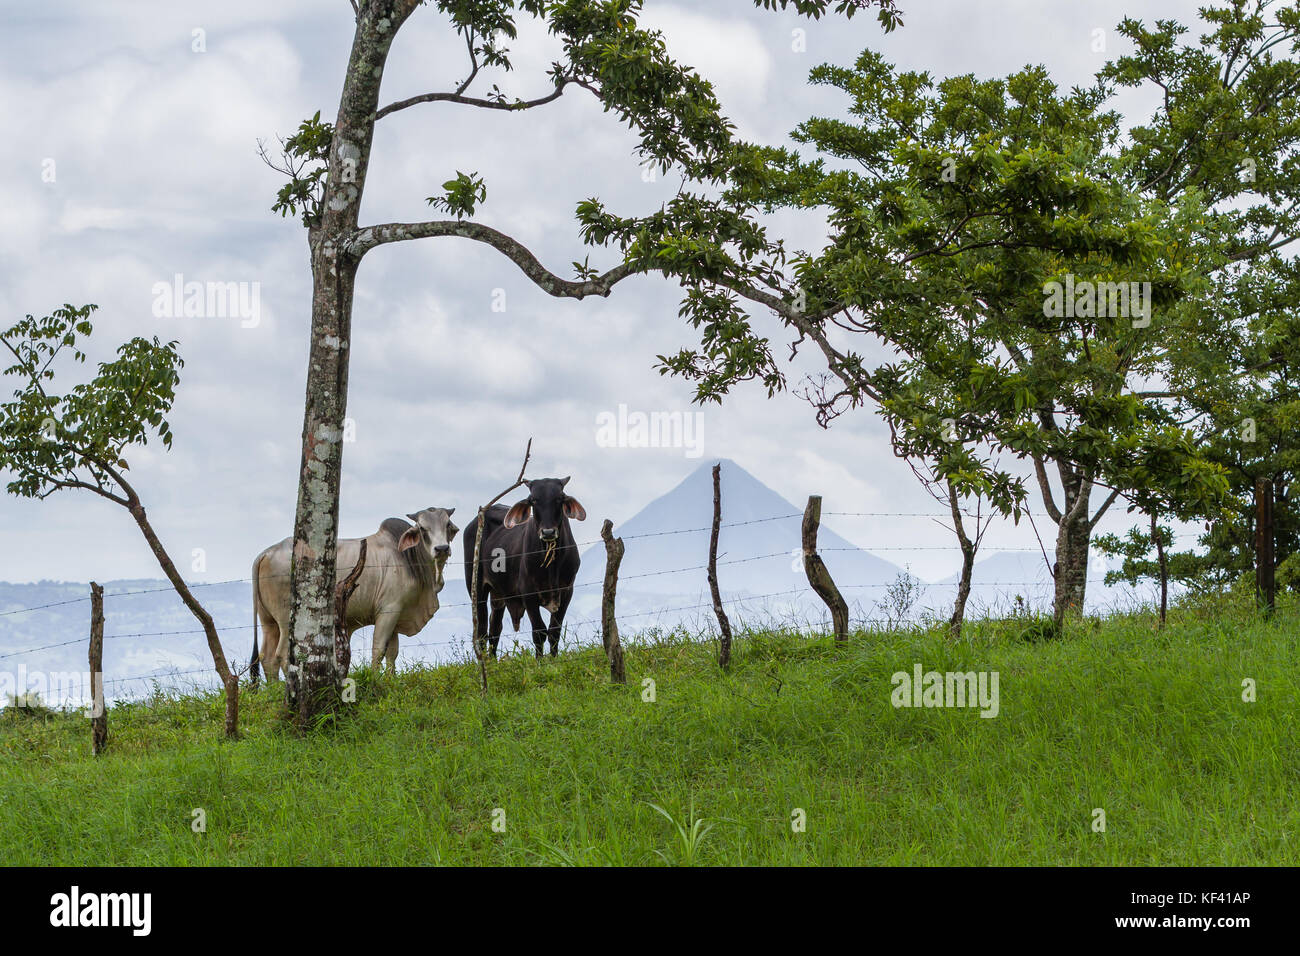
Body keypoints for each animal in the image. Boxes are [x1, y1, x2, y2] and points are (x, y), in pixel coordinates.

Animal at [250, 507, 458, 681]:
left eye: (447, 524)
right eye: (422, 528)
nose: (442, 549)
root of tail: (266, 553)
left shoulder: (397, 614)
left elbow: (392, 652)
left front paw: (391, 679)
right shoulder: (388, 610)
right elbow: (379, 649)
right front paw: (376, 680)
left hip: (269, 621)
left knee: (267, 657)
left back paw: (274, 690)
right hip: (288, 620)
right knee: (283, 655)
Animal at [464, 477, 586, 659]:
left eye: (559, 498)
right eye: (533, 500)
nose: (548, 532)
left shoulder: (567, 591)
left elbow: (554, 632)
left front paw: (554, 660)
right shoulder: (528, 593)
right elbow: (539, 631)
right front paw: (540, 662)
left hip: (498, 594)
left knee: (495, 628)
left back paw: (492, 661)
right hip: (477, 588)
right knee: (482, 631)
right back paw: (484, 661)